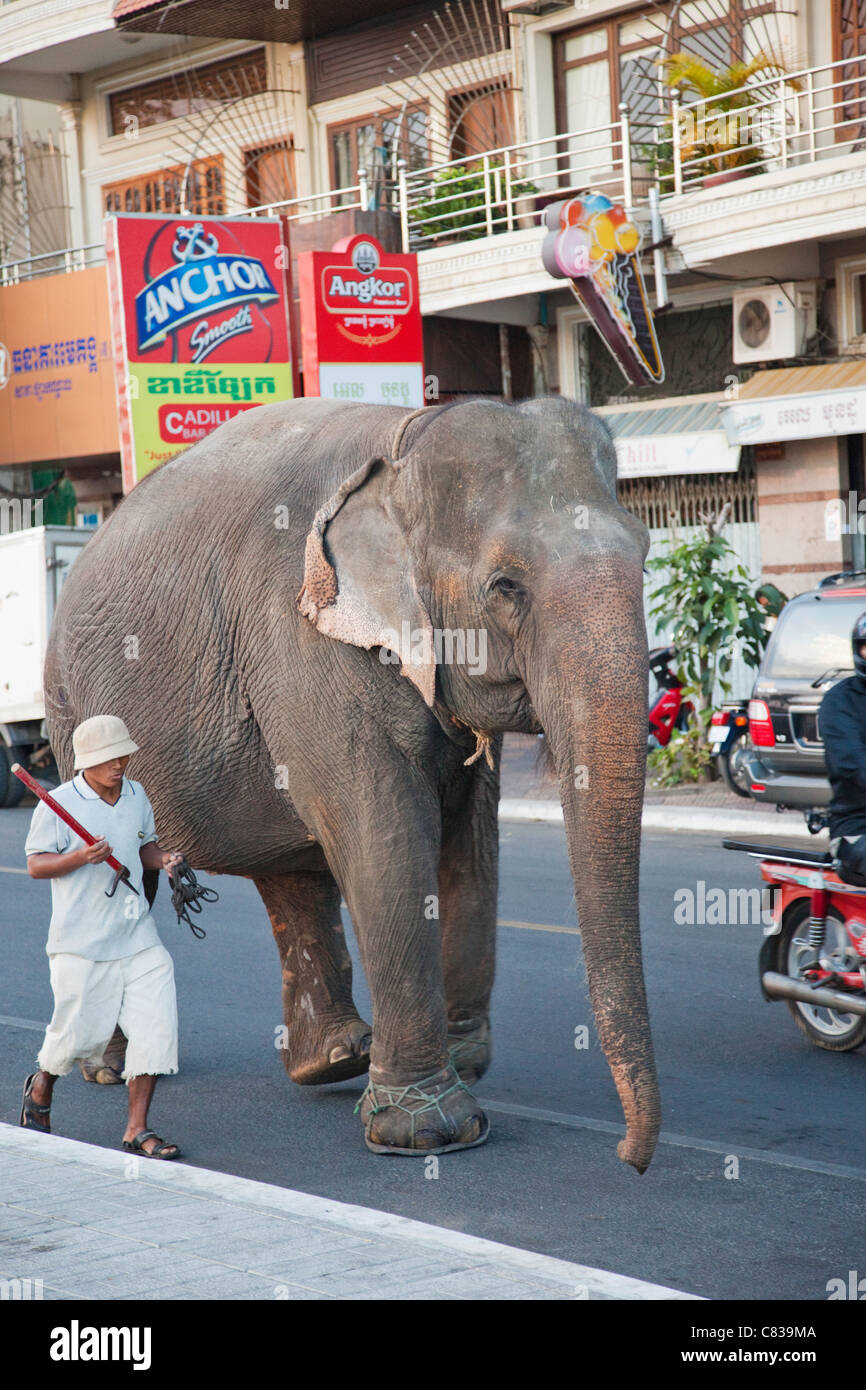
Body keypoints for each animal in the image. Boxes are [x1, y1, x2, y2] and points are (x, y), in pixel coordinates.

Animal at [44, 394, 660, 1170]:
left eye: (646, 559)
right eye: (506, 587)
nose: (630, 1157)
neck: (405, 447)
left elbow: (469, 843)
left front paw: (463, 1063)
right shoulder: (307, 642)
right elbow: (387, 839)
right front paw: (430, 1131)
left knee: (292, 874)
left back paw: (334, 1059)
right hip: (73, 714)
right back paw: (111, 1069)